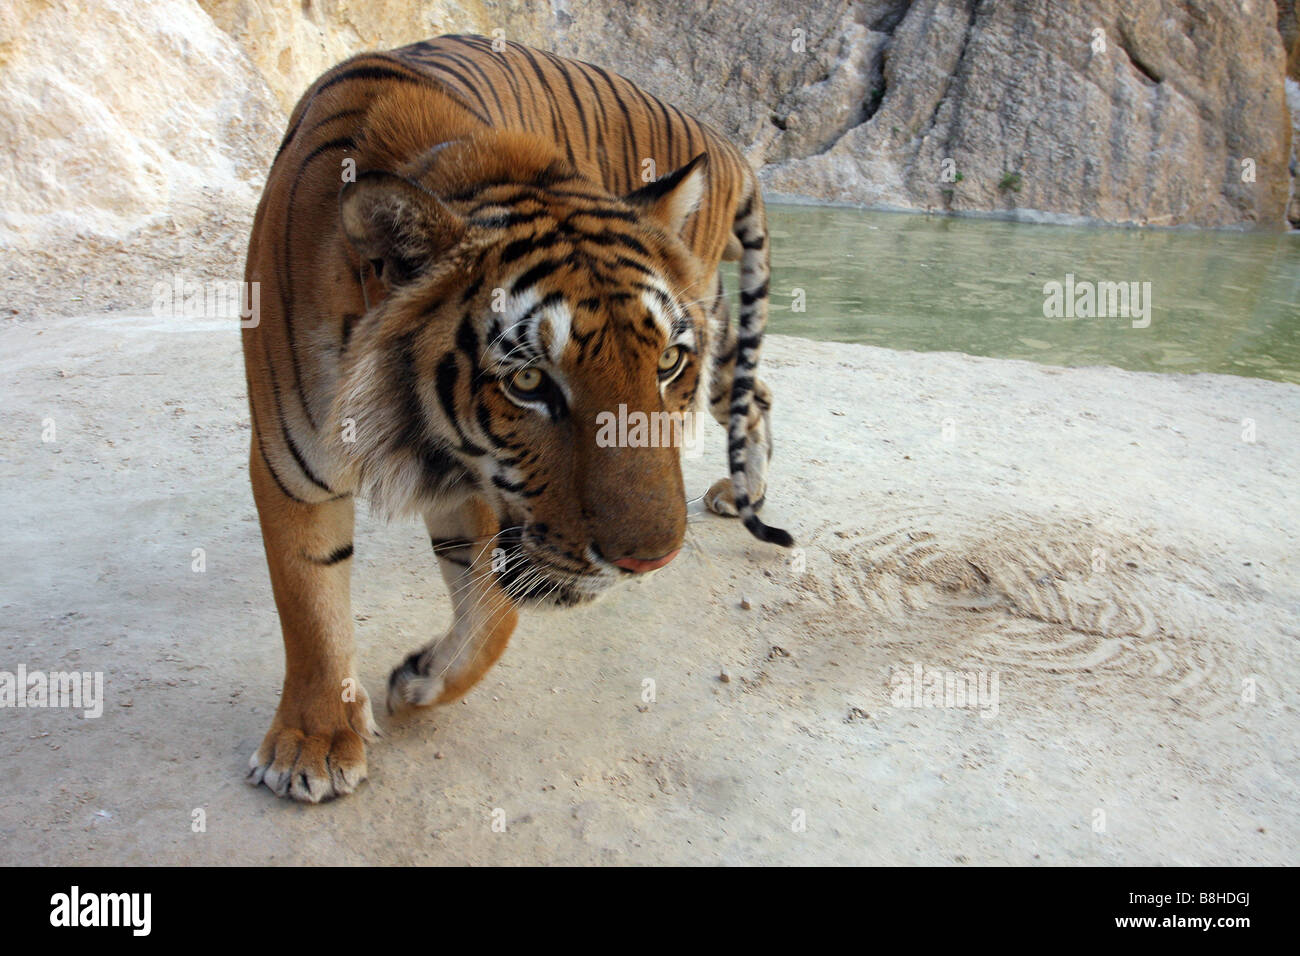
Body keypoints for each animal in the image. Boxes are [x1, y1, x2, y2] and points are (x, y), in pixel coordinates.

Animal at [242, 34, 792, 802]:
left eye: (664, 362)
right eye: (530, 381)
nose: (648, 562)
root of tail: (726, 145)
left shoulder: (474, 481)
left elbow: (494, 614)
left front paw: (416, 682)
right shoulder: (293, 466)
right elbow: (311, 607)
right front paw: (312, 744)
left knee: (752, 394)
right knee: (758, 392)